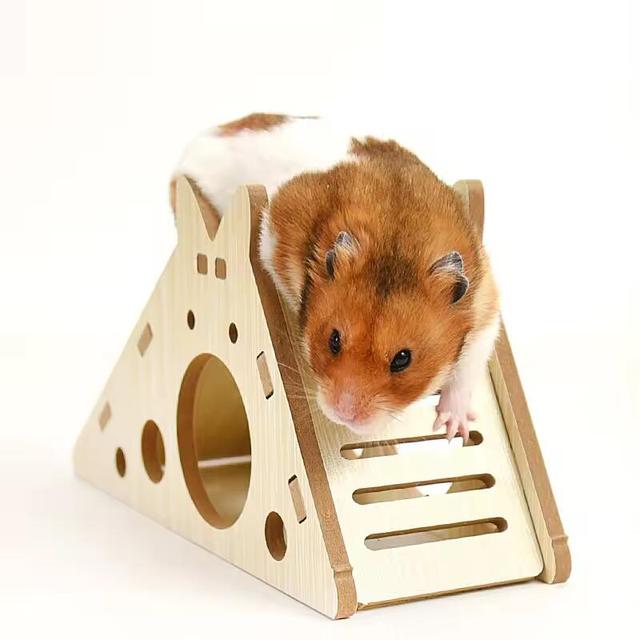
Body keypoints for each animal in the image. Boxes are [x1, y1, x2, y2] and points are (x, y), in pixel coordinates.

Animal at [171, 113, 500, 440]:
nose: (344, 415)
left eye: (403, 359)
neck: (397, 238)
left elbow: (467, 370)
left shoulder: (485, 309)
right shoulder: (273, 232)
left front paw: (454, 430)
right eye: (334, 340)